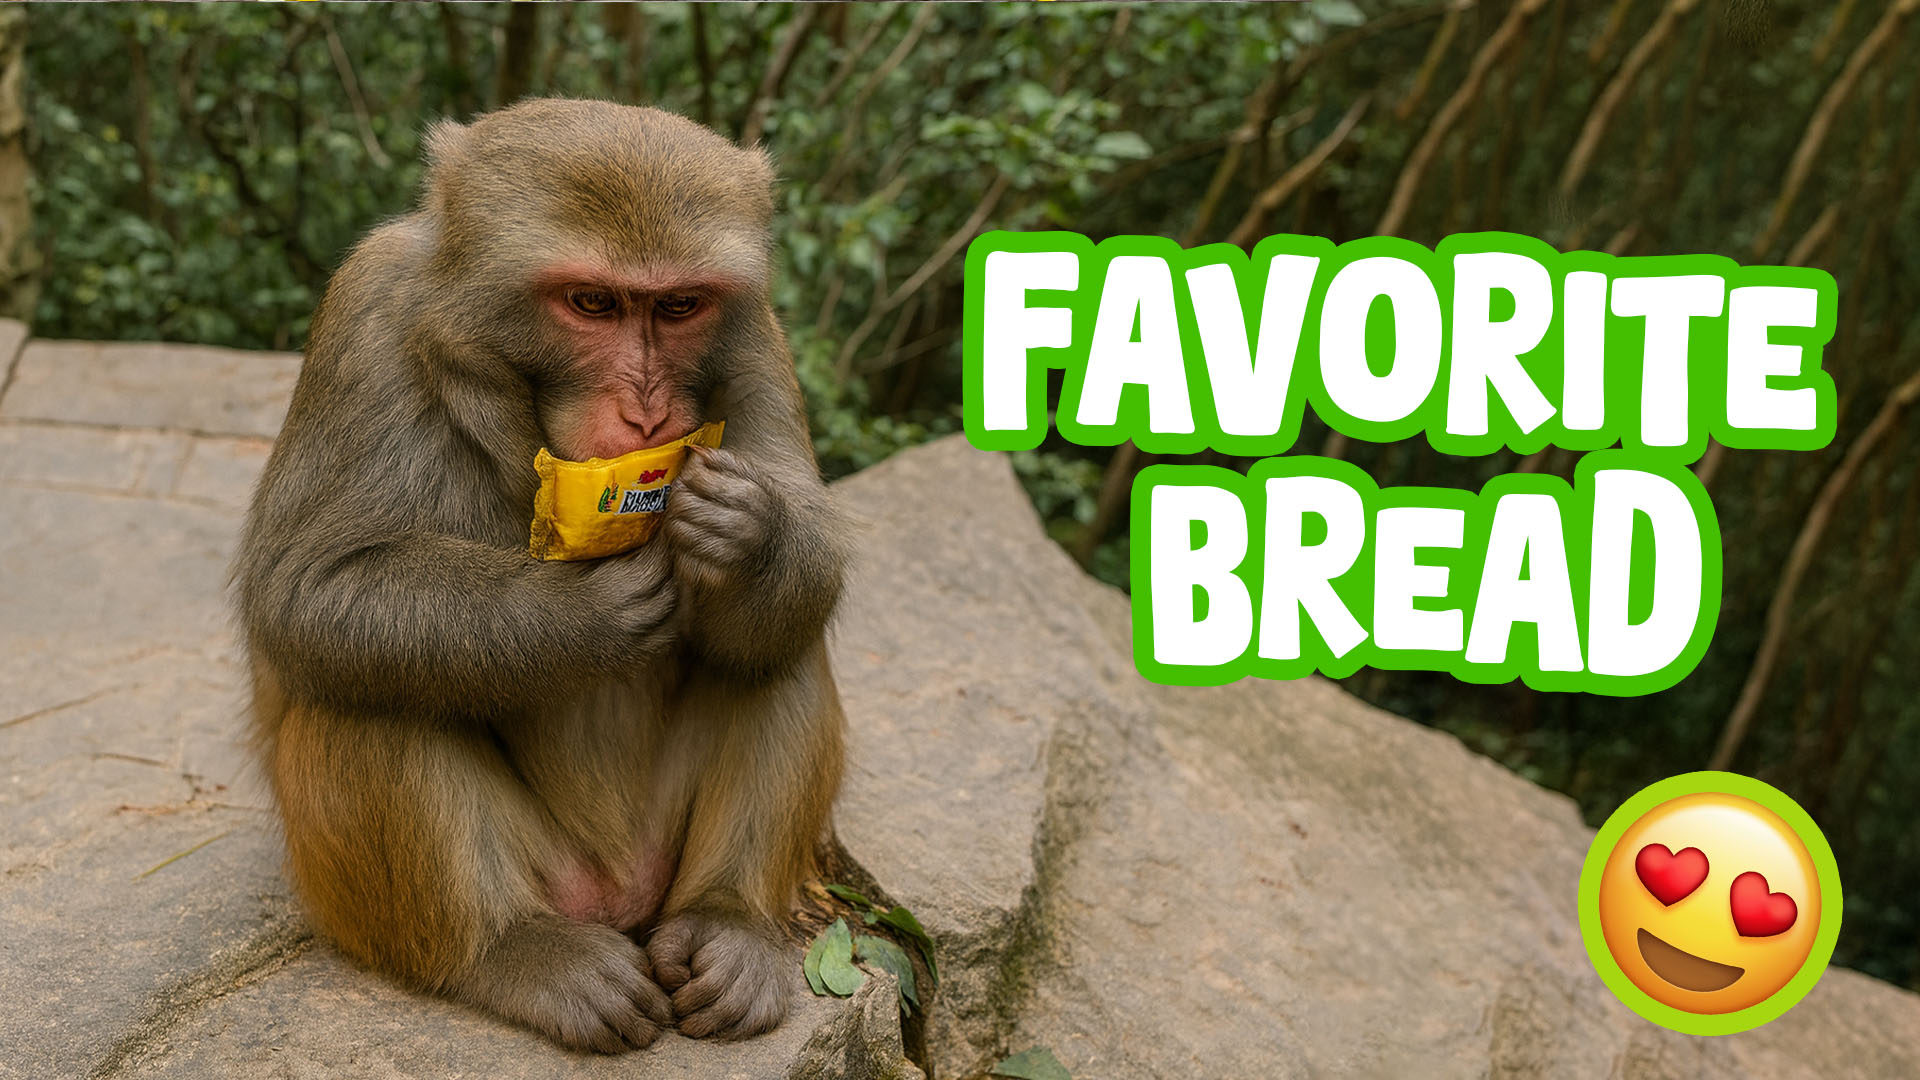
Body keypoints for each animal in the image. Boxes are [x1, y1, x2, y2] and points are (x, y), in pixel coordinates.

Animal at [232, 99, 848, 1053]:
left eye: (680, 305)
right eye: (592, 303)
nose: (647, 412)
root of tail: (619, 890)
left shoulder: (756, 337)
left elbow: (798, 566)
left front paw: (752, 534)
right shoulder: (366, 312)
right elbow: (307, 592)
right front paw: (582, 611)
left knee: (778, 652)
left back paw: (728, 923)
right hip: (435, 889)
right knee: (365, 693)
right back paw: (513, 951)